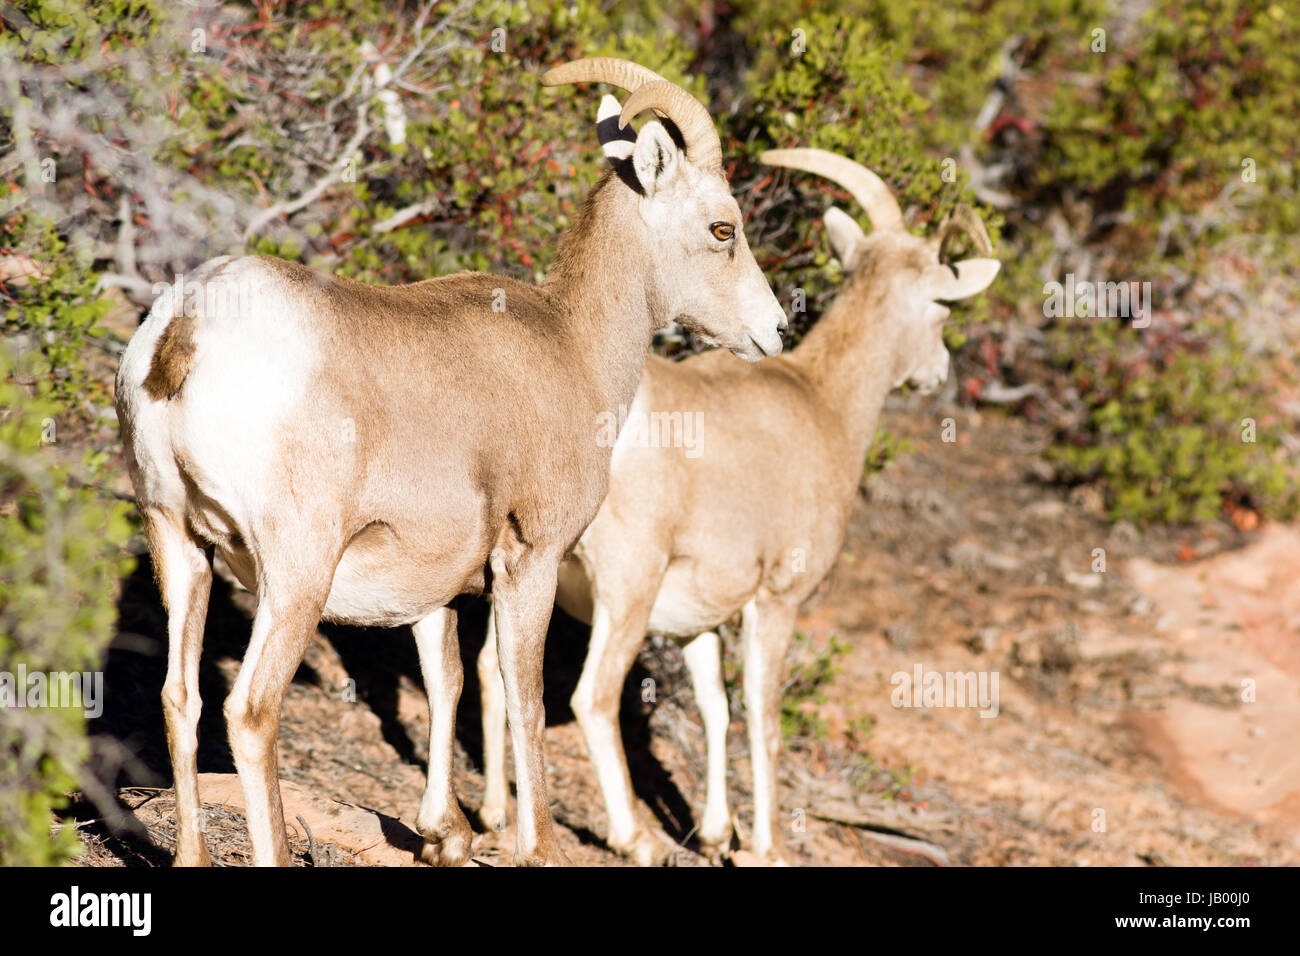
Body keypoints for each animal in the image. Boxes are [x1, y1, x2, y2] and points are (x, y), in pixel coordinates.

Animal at [114, 58, 787, 867]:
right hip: (295, 575)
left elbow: (449, 679)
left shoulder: (433, 589)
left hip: (178, 542)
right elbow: (523, 696)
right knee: (249, 710)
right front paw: (538, 846)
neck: (575, 347)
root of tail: (185, 330)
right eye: (723, 227)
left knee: (180, 697)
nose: (777, 328)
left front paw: (446, 833)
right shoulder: (531, 560)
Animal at [475, 147, 1000, 864]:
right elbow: (762, 719)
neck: (824, 403)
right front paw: (765, 844)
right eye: (943, 311)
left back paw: (493, 813)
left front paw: (719, 832)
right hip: (623, 589)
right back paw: (634, 836)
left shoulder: (696, 620)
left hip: (526, 576)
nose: (937, 371)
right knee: (594, 699)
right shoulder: (776, 600)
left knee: (492, 671)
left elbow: (714, 709)